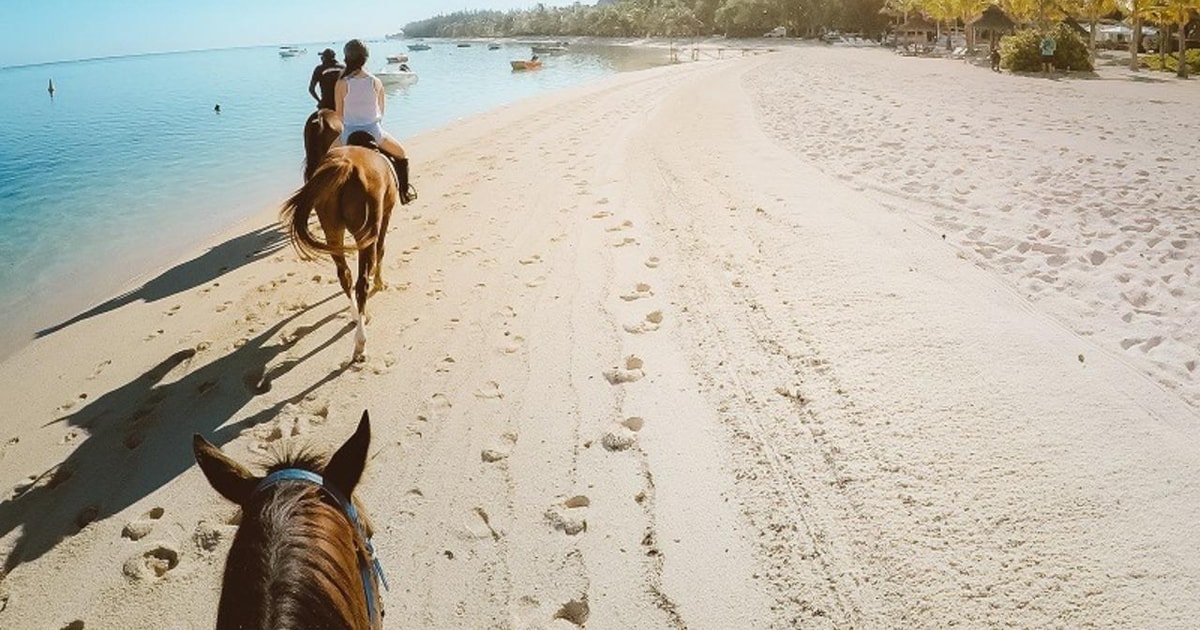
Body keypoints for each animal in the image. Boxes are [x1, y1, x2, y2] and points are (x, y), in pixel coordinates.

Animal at [280, 142, 397, 361]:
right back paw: (360, 343)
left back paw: (355, 317)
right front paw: (380, 282)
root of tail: (346, 165)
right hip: (365, 232)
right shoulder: (385, 215)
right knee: (361, 284)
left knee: (345, 276)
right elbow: (381, 250)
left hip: (332, 232)